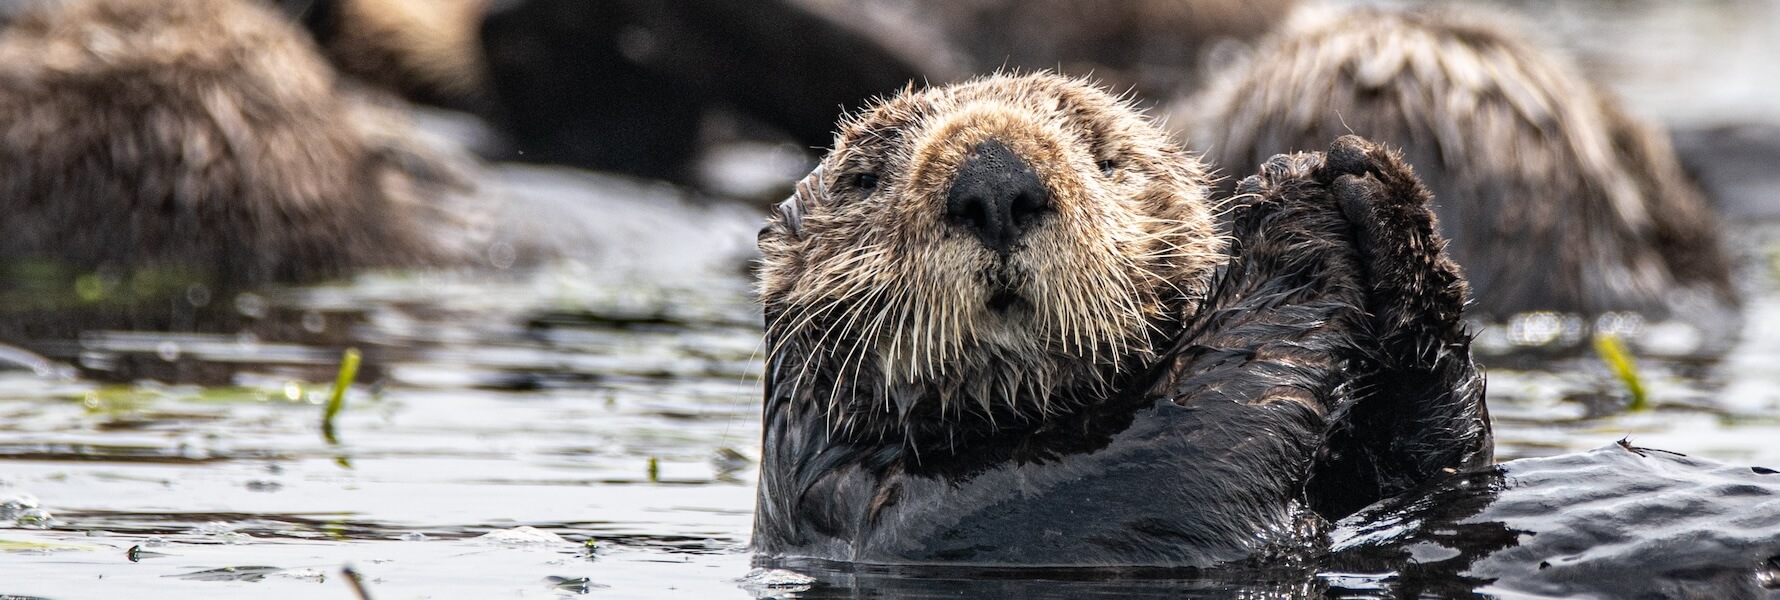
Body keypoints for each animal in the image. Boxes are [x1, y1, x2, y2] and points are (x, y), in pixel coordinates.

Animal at [753, 73, 1491, 567]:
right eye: (865, 179)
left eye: (1106, 159)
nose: (994, 181)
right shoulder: (903, 515)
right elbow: (1169, 454)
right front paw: (1289, 208)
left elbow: (1445, 476)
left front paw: (1379, 192)